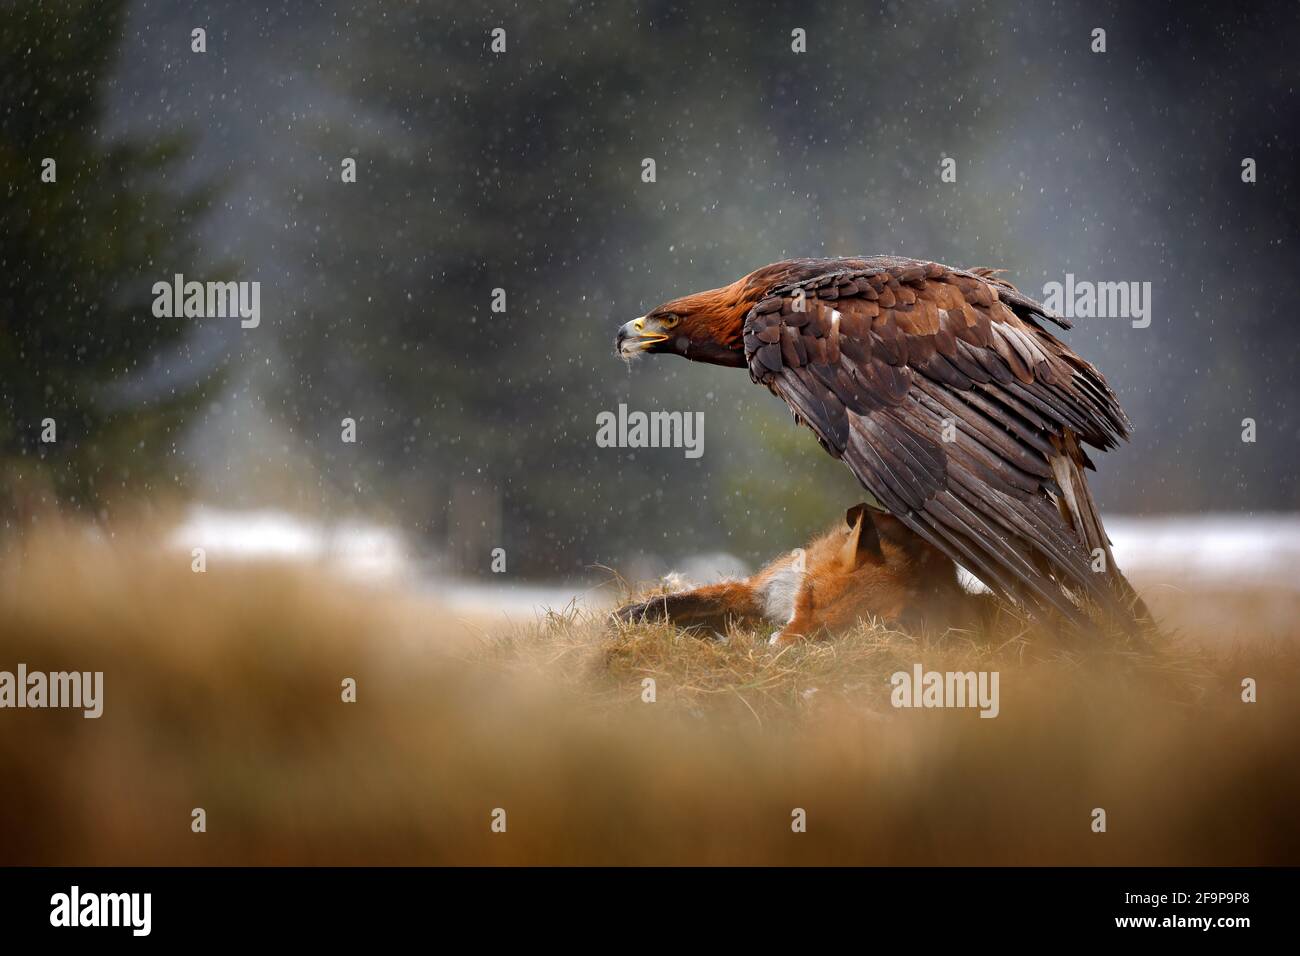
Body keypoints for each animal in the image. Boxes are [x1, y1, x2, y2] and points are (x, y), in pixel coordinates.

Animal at [613, 504, 1001, 645]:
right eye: (810, 596)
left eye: (828, 633)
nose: (775, 645)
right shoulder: (764, 591)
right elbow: (692, 599)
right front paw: (632, 615)